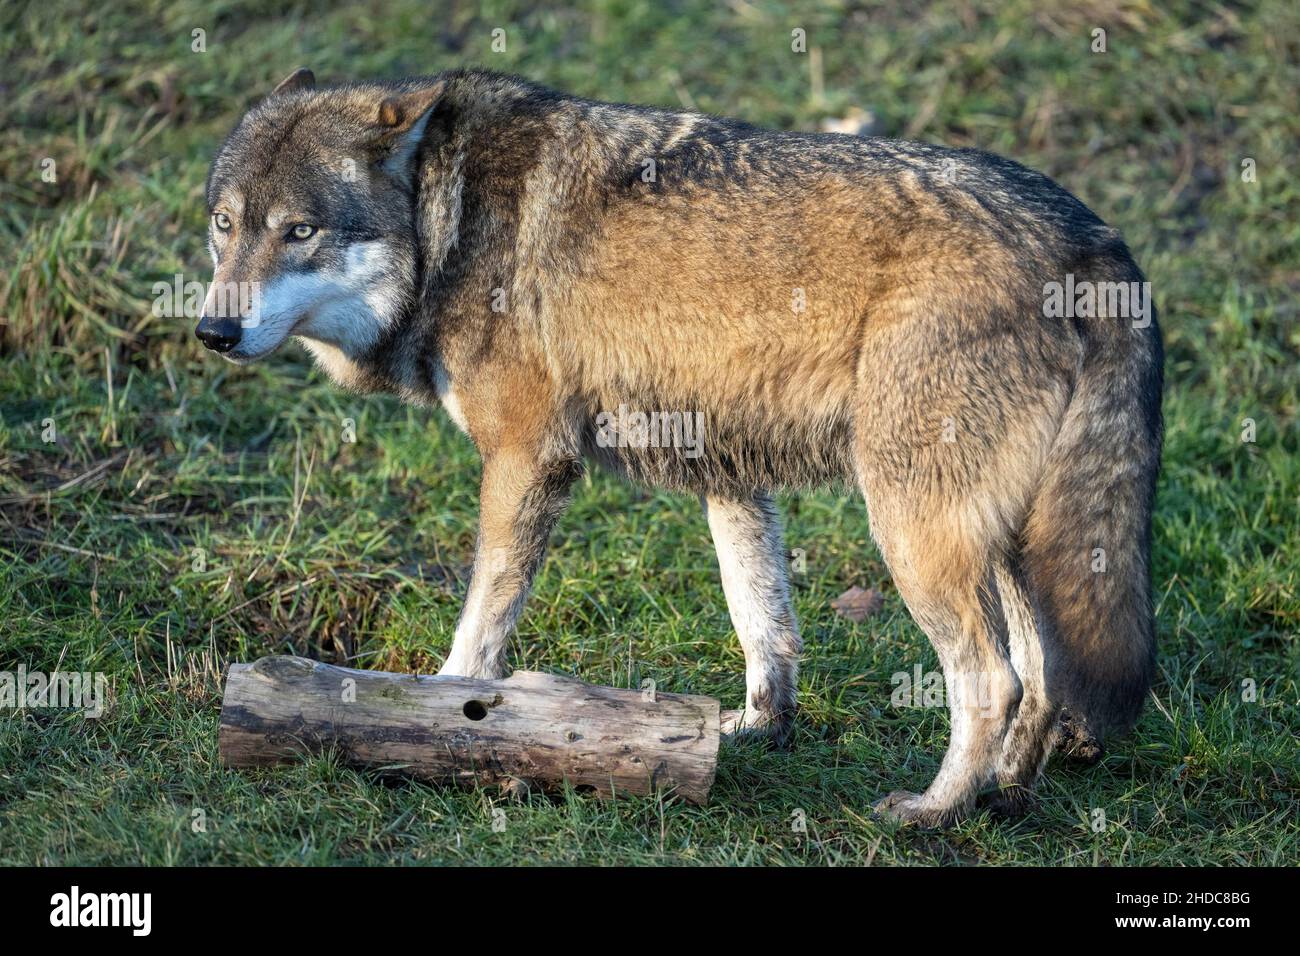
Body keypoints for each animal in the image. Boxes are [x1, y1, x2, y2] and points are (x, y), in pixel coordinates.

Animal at [197, 67, 1163, 826]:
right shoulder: (728, 477)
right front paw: (755, 732)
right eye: (226, 224)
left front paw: (440, 717)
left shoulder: (528, 459)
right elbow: (762, 621)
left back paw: (932, 813)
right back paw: (1006, 796)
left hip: (912, 530)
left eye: (300, 231)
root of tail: (1093, 238)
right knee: (1041, 678)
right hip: (1002, 538)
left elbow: (482, 624)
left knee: (992, 681)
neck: (451, 222)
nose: (212, 330)